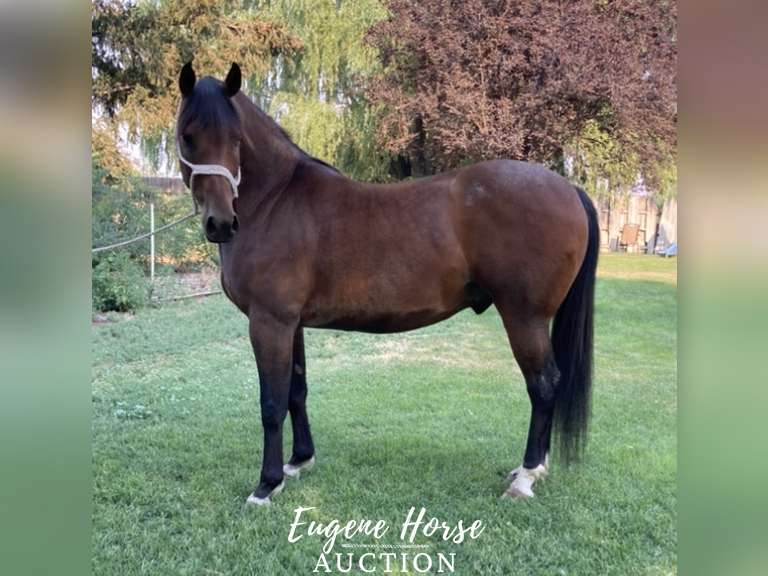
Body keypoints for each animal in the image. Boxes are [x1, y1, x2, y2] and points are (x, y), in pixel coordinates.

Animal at [175, 62, 599, 505]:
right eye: (187, 136)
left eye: (237, 139)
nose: (221, 223)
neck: (275, 199)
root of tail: (568, 188)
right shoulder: (291, 324)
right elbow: (296, 391)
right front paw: (299, 462)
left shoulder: (268, 322)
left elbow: (271, 403)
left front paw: (266, 484)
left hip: (524, 318)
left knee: (543, 385)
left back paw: (526, 476)